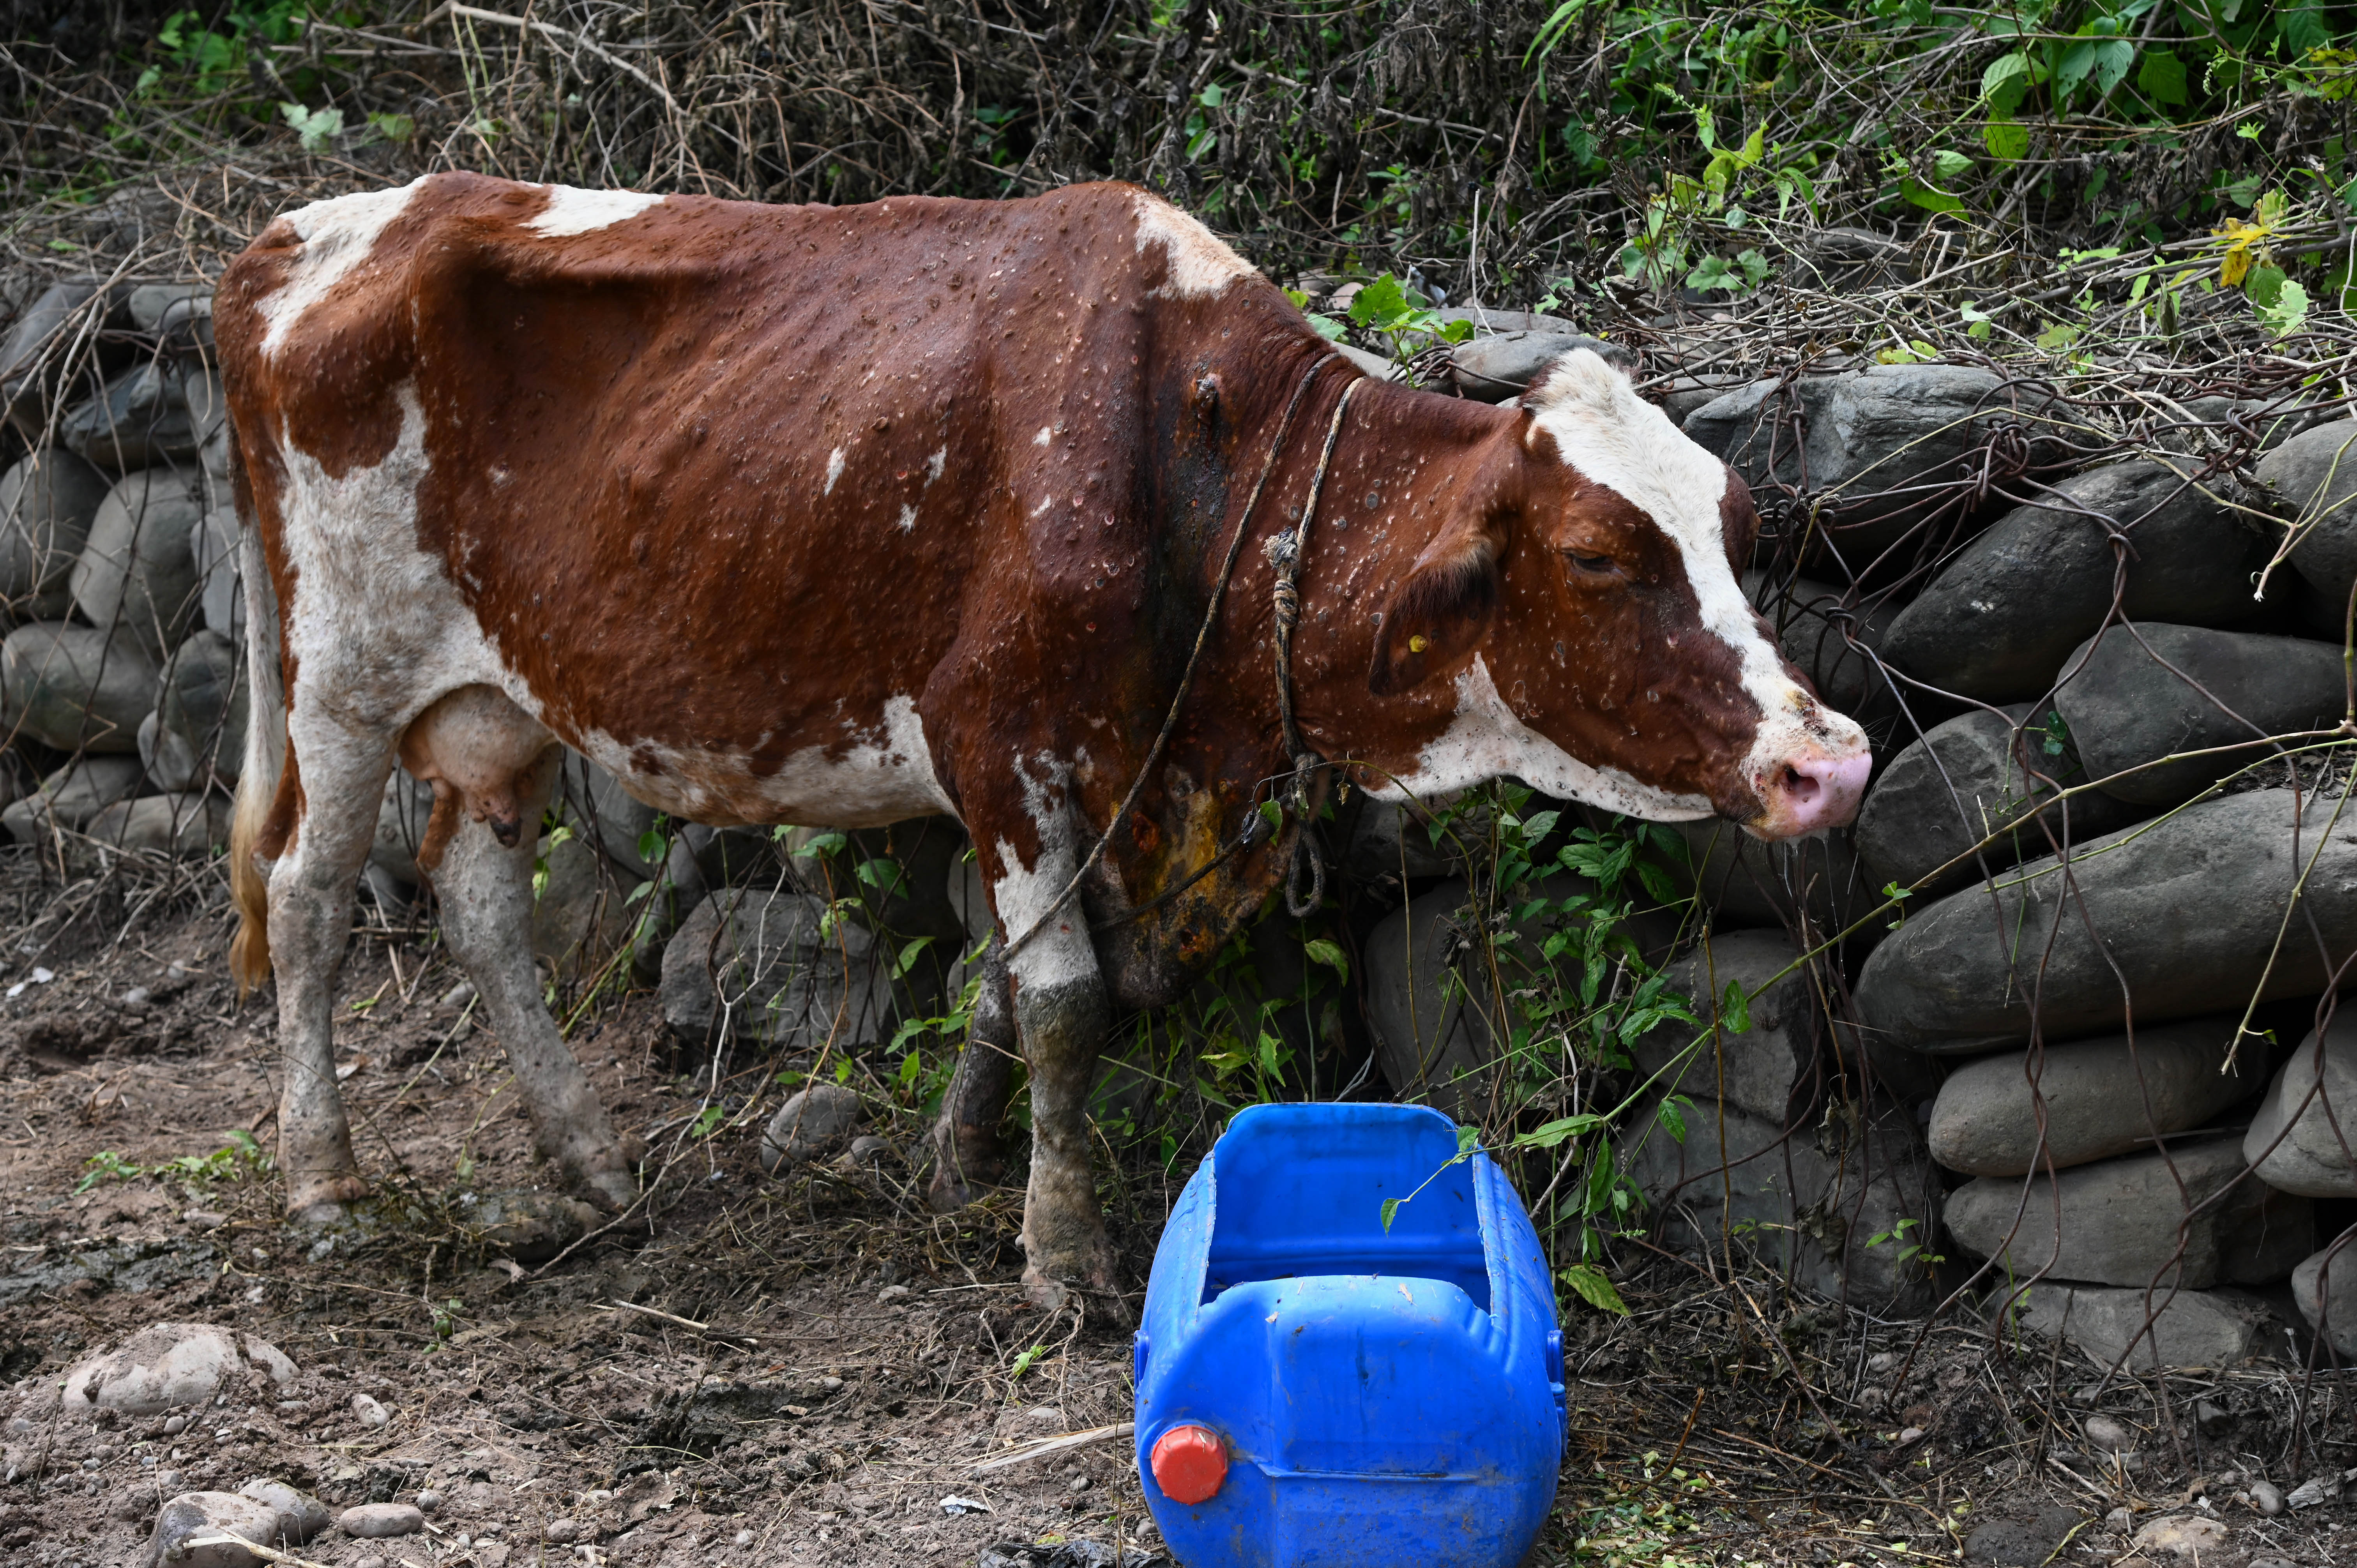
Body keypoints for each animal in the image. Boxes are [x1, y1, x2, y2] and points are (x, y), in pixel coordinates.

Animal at [216, 173, 1870, 1311]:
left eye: (1737, 527)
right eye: (1594, 554)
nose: (1830, 761)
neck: (1192, 455)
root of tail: (309, 229)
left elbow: (1008, 993)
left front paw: (957, 1166)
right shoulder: (999, 736)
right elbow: (1066, 1000)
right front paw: (1059, 1249)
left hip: (491, 698)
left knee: (479, 901)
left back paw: (586, 1157)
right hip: (340, 673)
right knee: (305, 899)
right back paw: (324, 1179)